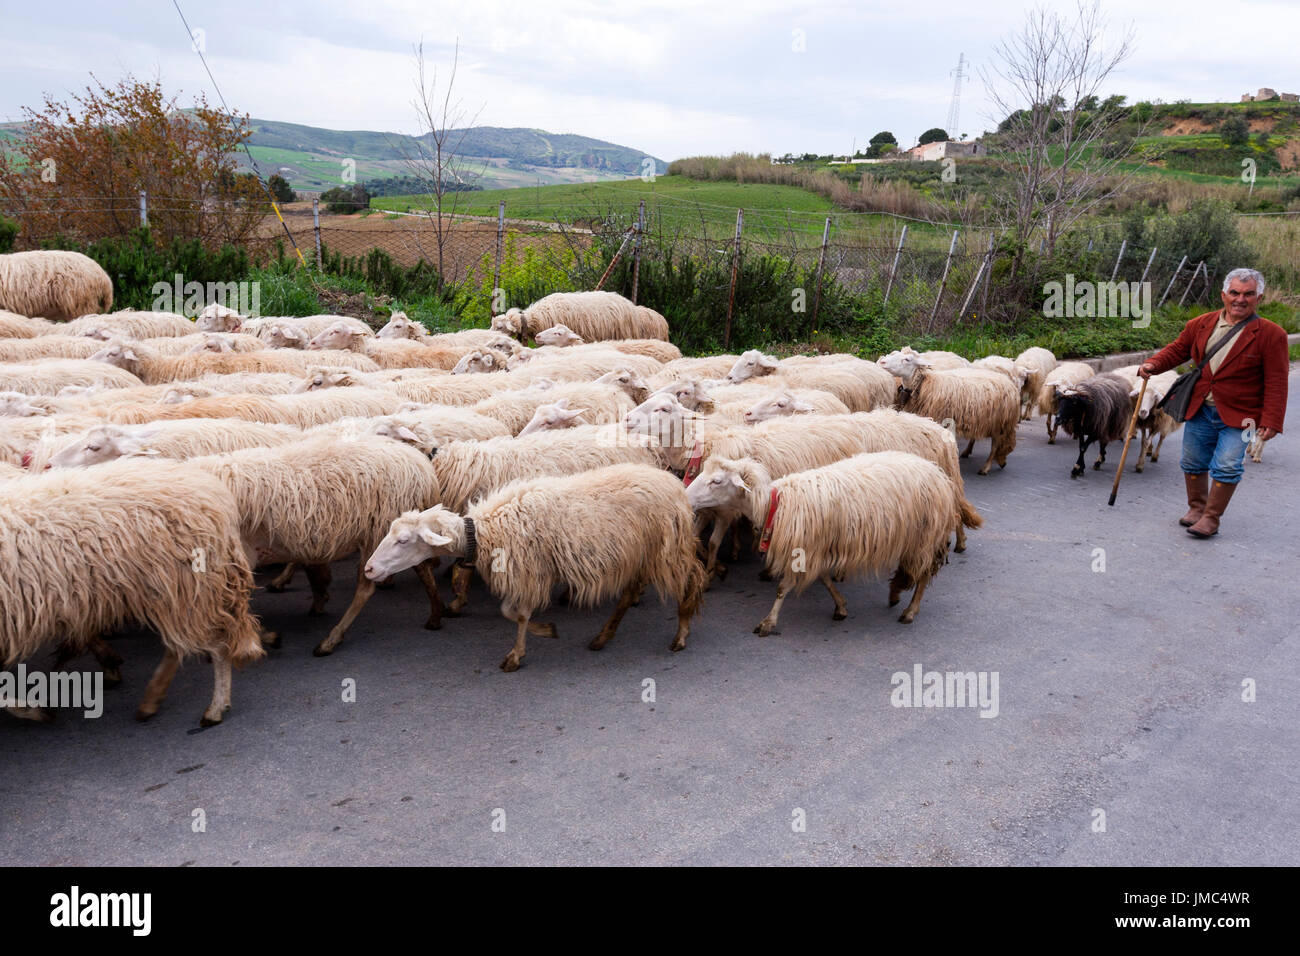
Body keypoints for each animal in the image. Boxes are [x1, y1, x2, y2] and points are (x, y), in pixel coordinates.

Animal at [0, 459, 264, 725]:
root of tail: (212, 491)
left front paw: (32, 709)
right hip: (169, 593)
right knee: (179, 646)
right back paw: (152, 698)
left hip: (186, 588)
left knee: (217, 646)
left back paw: (214, 708)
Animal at [190, 435, 444, 656]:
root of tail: (420, 464)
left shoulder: (241, 554)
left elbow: (233, 606)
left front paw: (266, 637)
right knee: (422, 567)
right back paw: (435, 615)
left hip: (380, 531)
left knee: (366, 588)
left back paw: (331, 639)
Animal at [364, 463, 706, 671]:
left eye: (403, 541)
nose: (368, 570)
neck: (484, 532)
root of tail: (674, 484)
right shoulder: (532, 571)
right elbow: (513, 613)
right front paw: (542, 633)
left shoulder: (528, 571)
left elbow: (516, 613)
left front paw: (520, 652)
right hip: (638, 554)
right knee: (628, 595)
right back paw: (602, 637)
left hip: (666, 549)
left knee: (690, 582)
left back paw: (681, 633)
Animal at [685, 451, 958, 634]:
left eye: (717, 481)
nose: (686, 496)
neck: (776, 505)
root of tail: (938, 474)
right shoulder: (816, 549)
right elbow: (824, 579)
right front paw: (841, 606)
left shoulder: (802, 550)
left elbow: (783, 588)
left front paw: (768, 622)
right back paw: (895, 594)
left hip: (925, 536)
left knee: (923, 574)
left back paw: (910, 611)